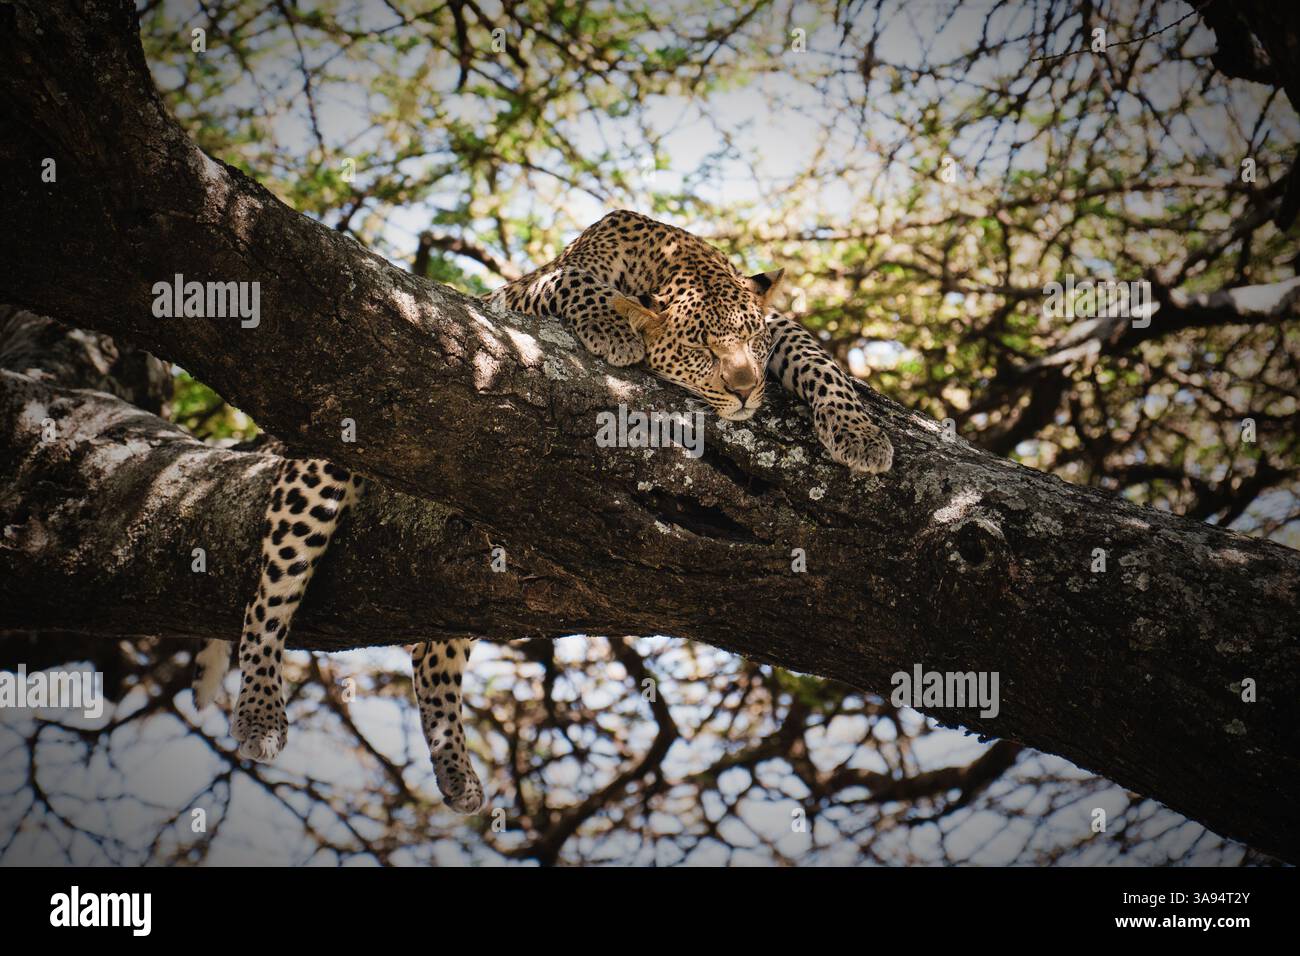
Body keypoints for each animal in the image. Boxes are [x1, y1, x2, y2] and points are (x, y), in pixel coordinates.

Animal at [191, 209, 893, 815]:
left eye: (748, 340)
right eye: (700, 351)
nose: (747, 392)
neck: (670, 259)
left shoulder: (780, 326)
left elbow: (817, 357)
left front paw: (859, 434)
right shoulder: (524, 296)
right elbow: (571, 282)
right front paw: (614, 327)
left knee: (430, 656)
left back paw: (457, 774)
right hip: (321, 469)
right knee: (270, 597)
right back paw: (259, 714)